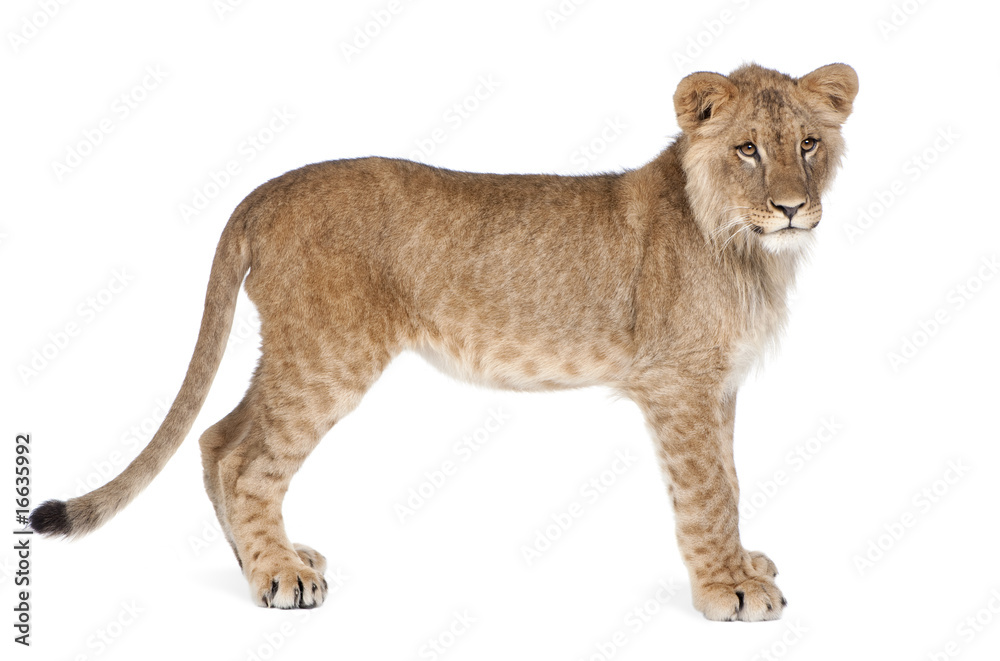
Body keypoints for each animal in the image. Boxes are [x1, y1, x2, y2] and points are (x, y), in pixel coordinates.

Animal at [31, 62, 858, 621]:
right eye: (748, 149)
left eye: (809, 144)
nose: (792, 207)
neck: (748, 249)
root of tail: (267, 189)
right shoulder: (677, 383)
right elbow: (706, 488)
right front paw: (730, 589)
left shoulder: (717, 385)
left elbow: (730, 480)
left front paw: (742, 563)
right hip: (327, 351)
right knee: (243, 455)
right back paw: (279, 578)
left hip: (297, 347)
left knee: (215, 436)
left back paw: (266, 557)